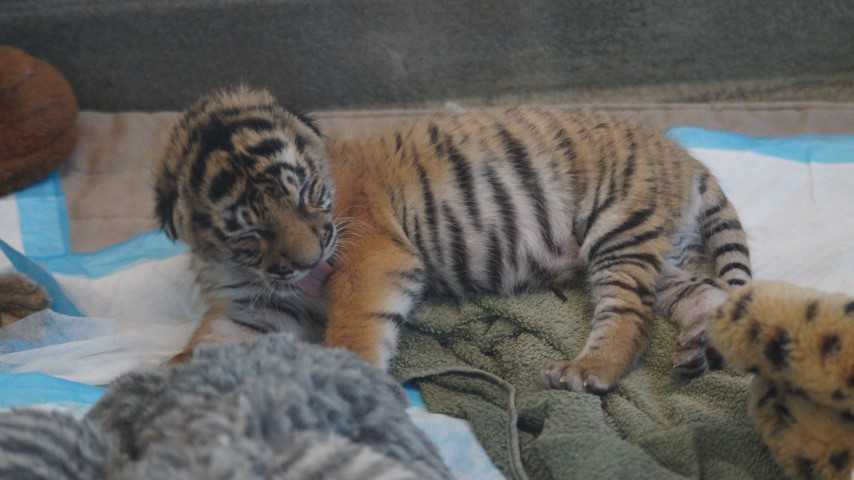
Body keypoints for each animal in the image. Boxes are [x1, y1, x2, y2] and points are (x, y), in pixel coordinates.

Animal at [156, 86, 752, 394]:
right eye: (251, 228)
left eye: (307, 195)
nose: (310, 259)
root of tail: (686, 157)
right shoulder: (257, 305)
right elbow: (207, 343)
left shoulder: (372, 255)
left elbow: (352, 328)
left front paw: (350, 384)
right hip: (662, 258)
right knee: (706, 295)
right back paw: (698, 347)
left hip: (621, 229)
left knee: (630, 316)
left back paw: (587, 371)